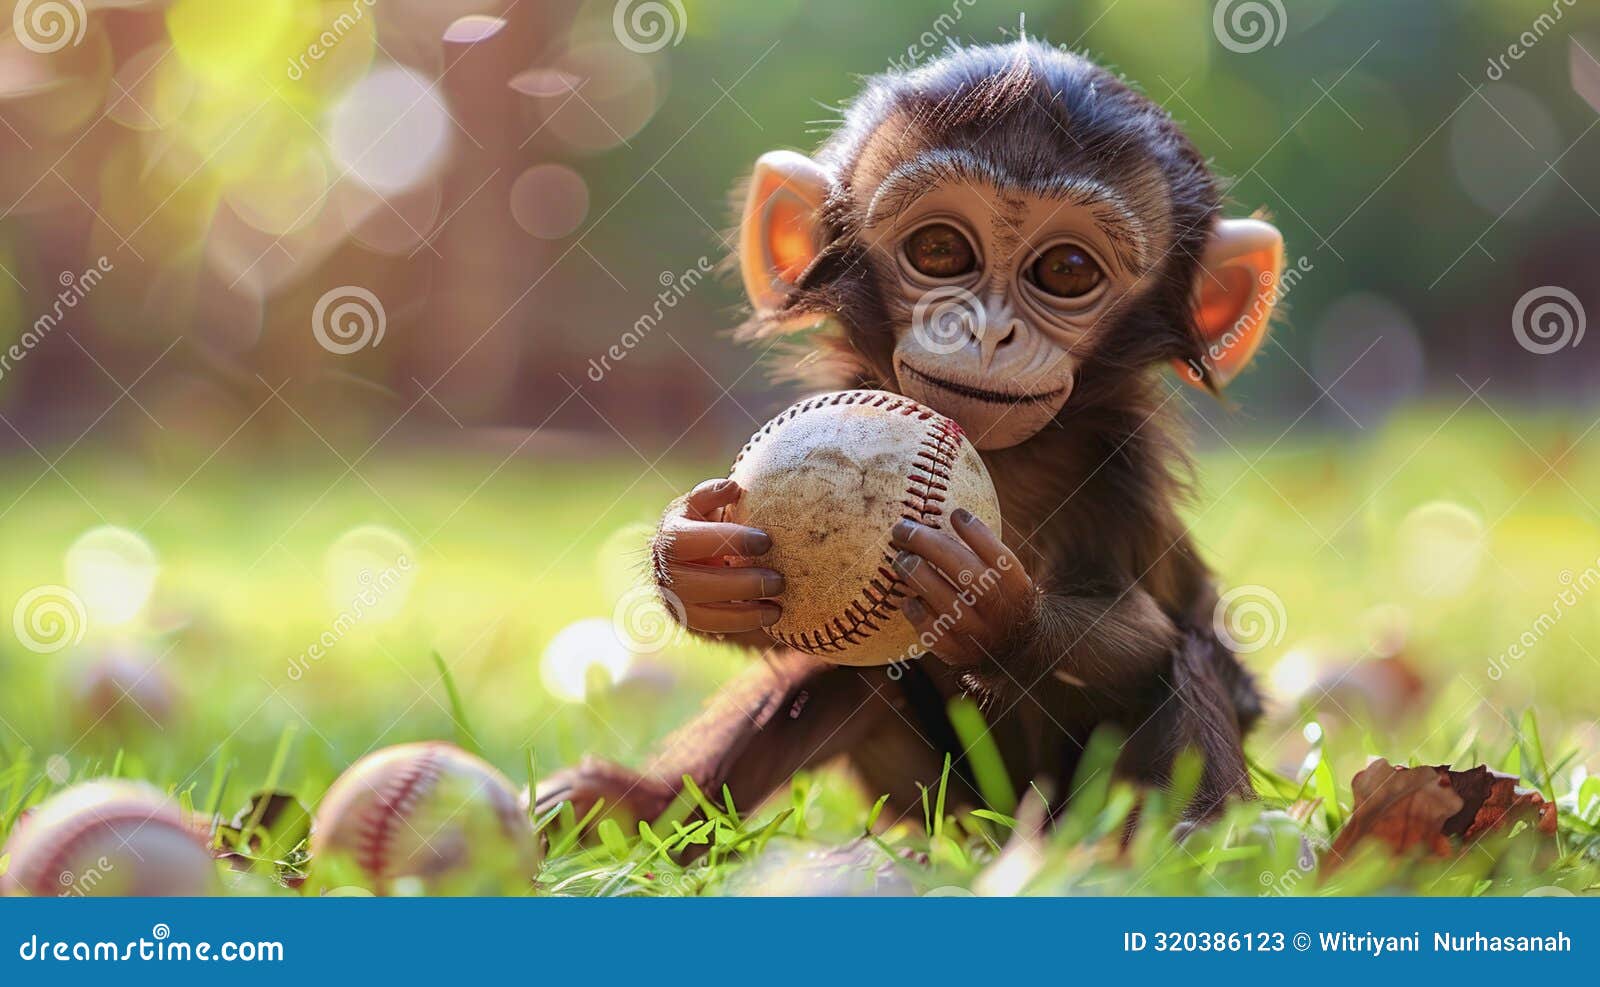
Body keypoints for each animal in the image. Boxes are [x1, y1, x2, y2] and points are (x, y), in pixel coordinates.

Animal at [536, 39, 1284, 838]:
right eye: (940, 250)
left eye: (1067, 270)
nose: (987, 331)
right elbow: (776, 628)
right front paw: (694, 562)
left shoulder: (1124, 471)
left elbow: (1152, 636)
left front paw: (994, 611)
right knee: (836, 677)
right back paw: (633, 808)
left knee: (1189, 661)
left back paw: (1197, 837)